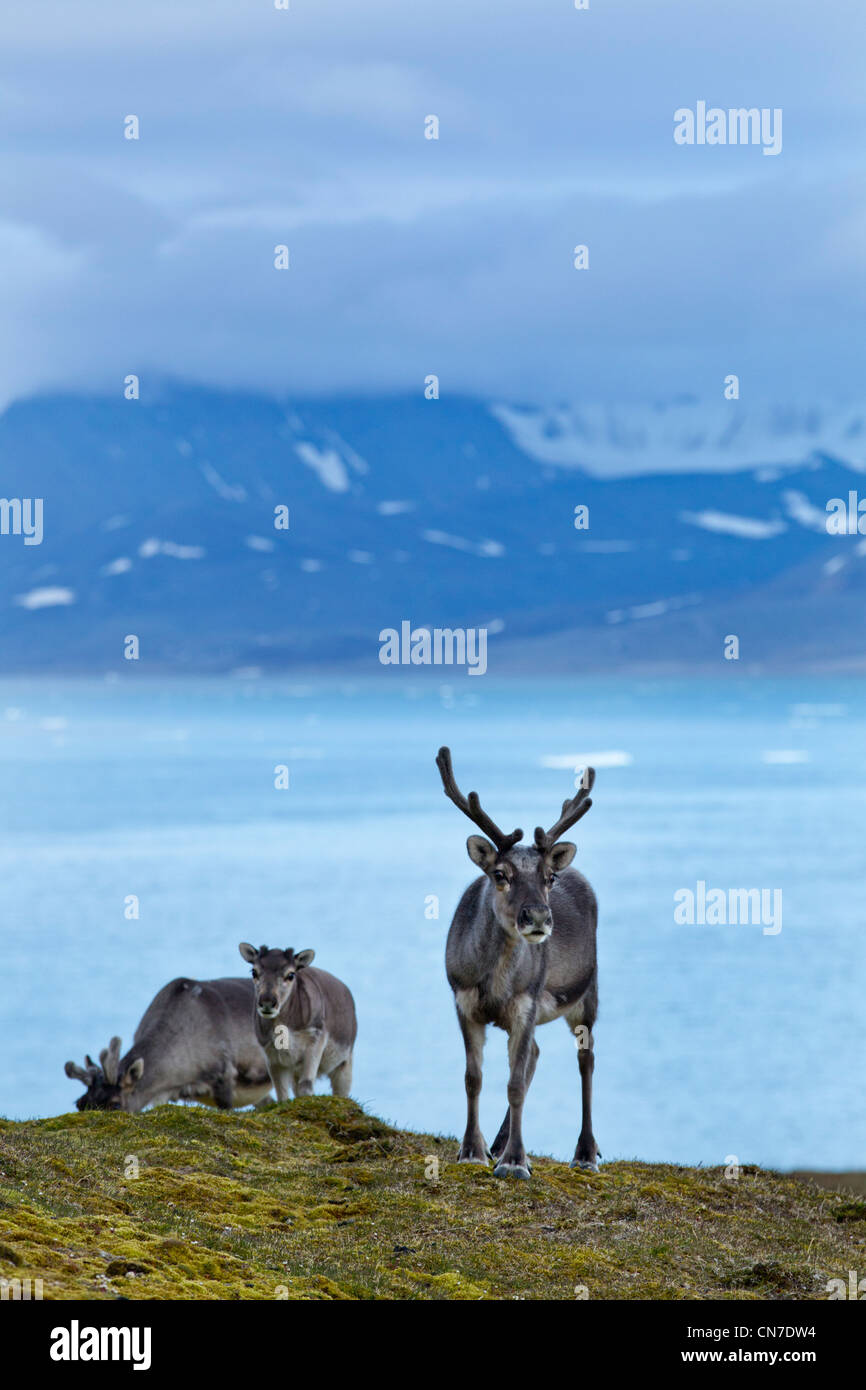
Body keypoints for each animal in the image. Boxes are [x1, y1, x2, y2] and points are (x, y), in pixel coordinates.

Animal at [237, 944, 357, 1101]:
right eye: (254, 972)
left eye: (290, 975)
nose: (268, 1002)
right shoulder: (270, 1053)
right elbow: (282, 1094)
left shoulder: (317, 1037)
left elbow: (306, 1085)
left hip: (345, 1062)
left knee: (341, 1092)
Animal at [435, 746, 600, 1180]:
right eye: (499, 873)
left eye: (548, 877)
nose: (539, 917)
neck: (495, 983)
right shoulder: (462, 999)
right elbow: (473, 1078)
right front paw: (473, 1150)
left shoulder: (527, 1001)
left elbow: (512, 1084)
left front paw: (514, 1162)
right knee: (535, 1057)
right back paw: (497, 1142)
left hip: (587, 993)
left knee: (586, 1060)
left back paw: (585, 1152)